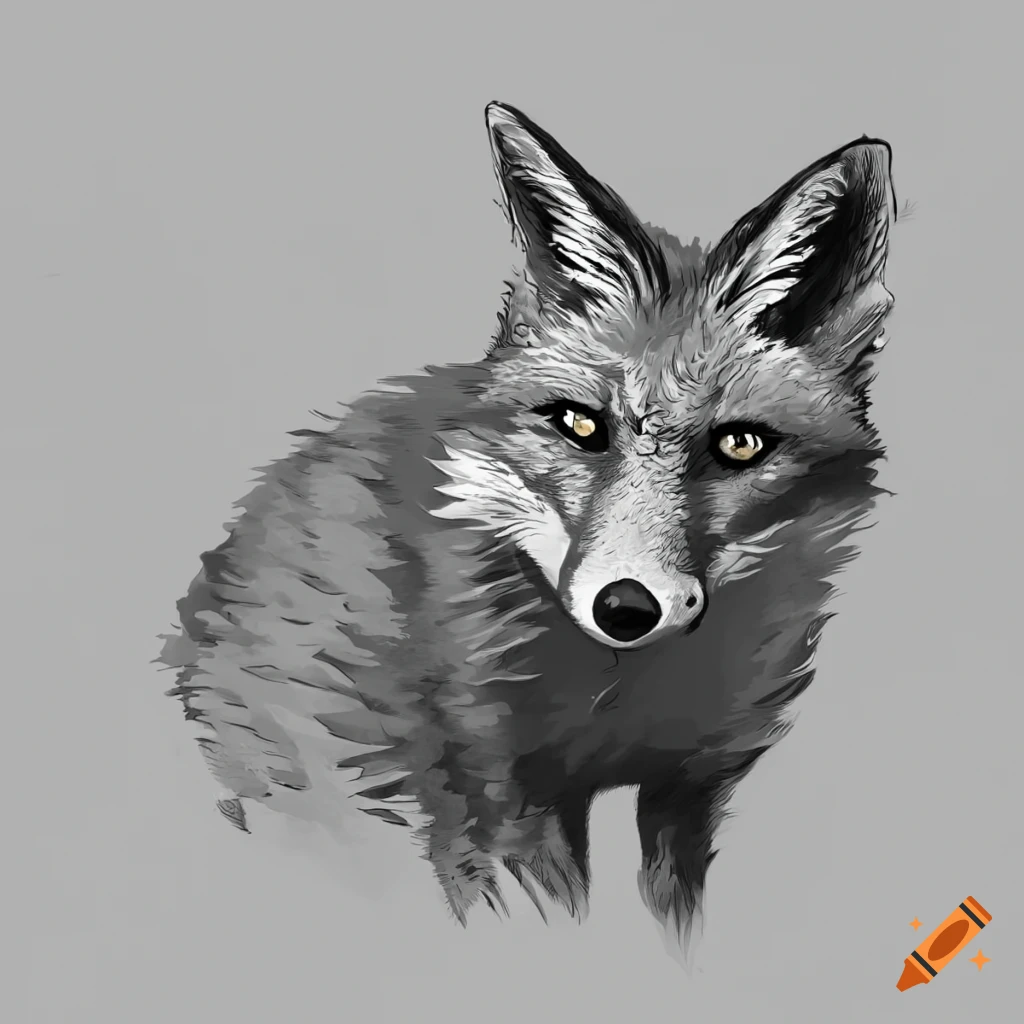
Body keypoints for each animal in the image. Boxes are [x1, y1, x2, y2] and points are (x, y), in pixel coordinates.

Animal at [158, 101, 899, 947]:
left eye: (740, 444)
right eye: (579, 426)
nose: (625, 607)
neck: (621, 703)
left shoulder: (690, 788)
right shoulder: (502, 797)